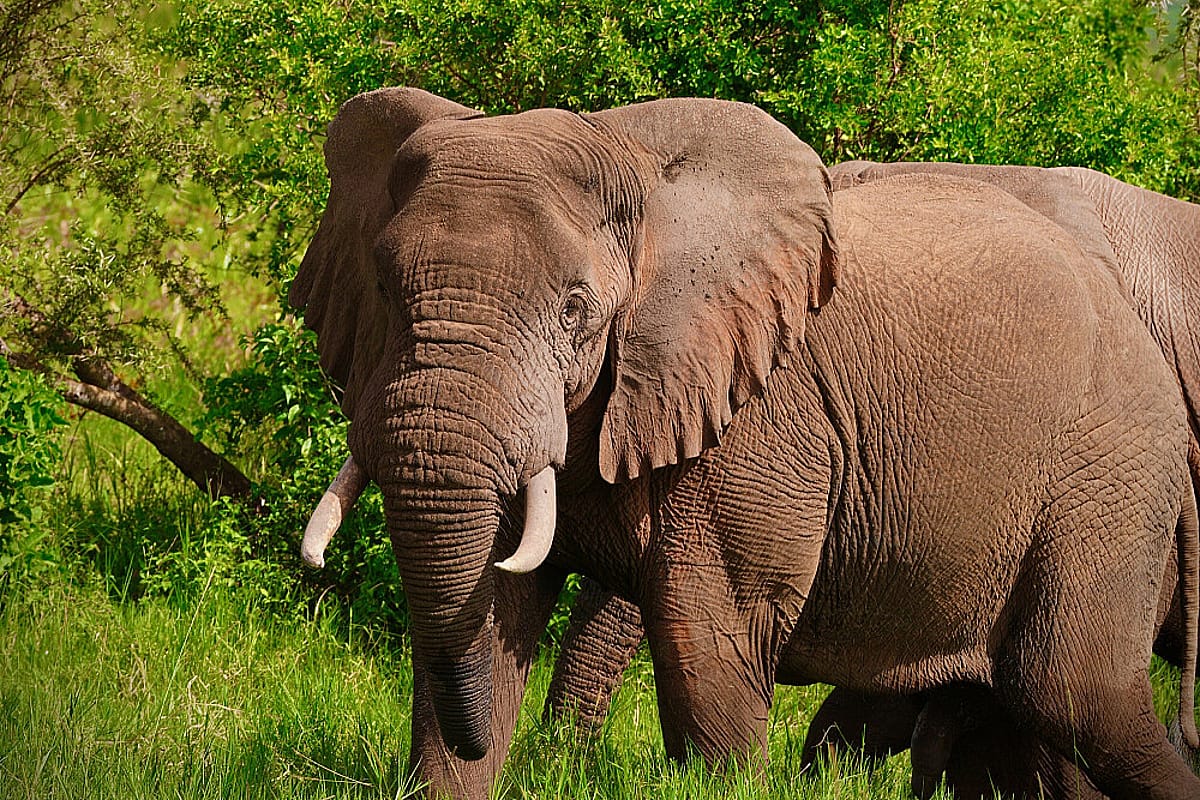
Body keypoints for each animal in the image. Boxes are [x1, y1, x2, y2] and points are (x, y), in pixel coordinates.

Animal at [288, 87, 1200, 800]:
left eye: (576, 308)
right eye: (383, 288)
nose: (487, 741)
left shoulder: (761, 416)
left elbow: (710, 628)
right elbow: (492, 604)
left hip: (1107, 476)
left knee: (1073, 693)